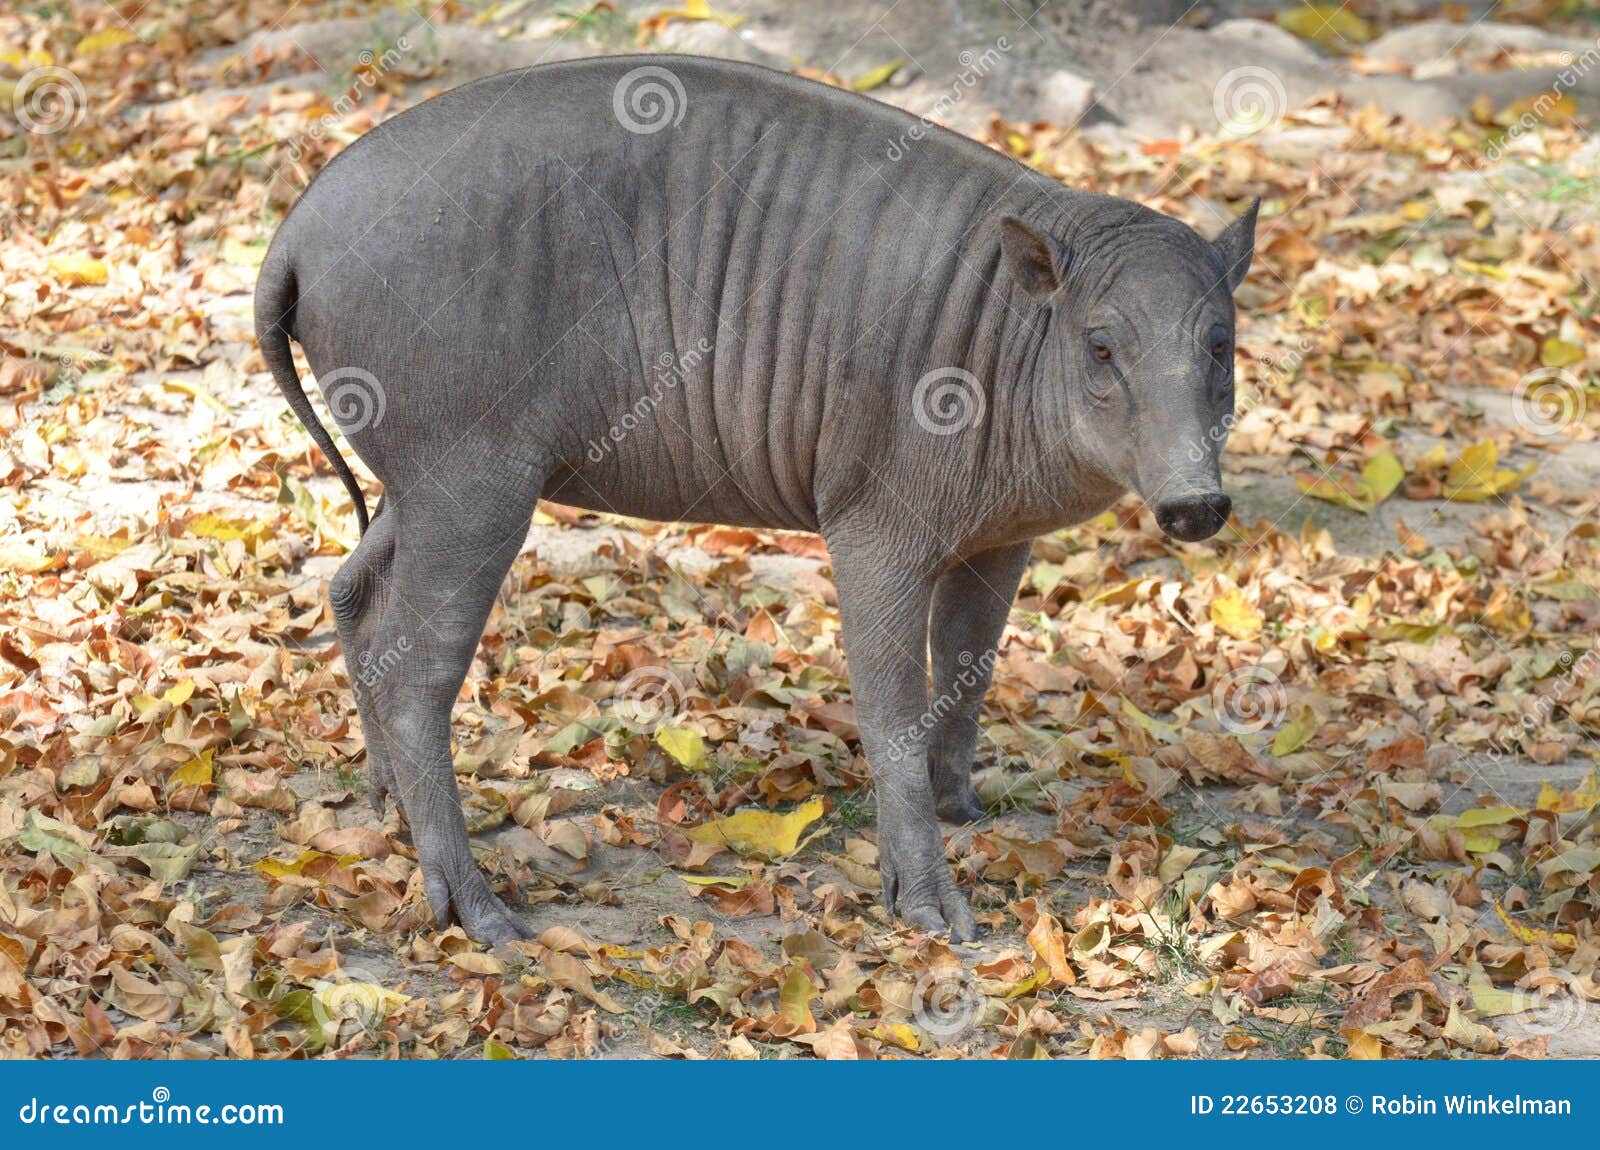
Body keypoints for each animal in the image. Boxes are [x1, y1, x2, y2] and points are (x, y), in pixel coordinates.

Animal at [256, 54, 1256, 942]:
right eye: (1100, 346)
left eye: (1220, 343)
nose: (1196, 506)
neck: (1009, 337)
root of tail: (293, 235)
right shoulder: (875, 530)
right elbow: (891, 709)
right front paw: (930, 907)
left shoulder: (999, 540)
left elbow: (968, 674)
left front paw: (964, 809)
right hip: (470, 482)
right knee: (417, 674)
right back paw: (476, 910)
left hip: (415, 484)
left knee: (353, 594)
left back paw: (385, 812)